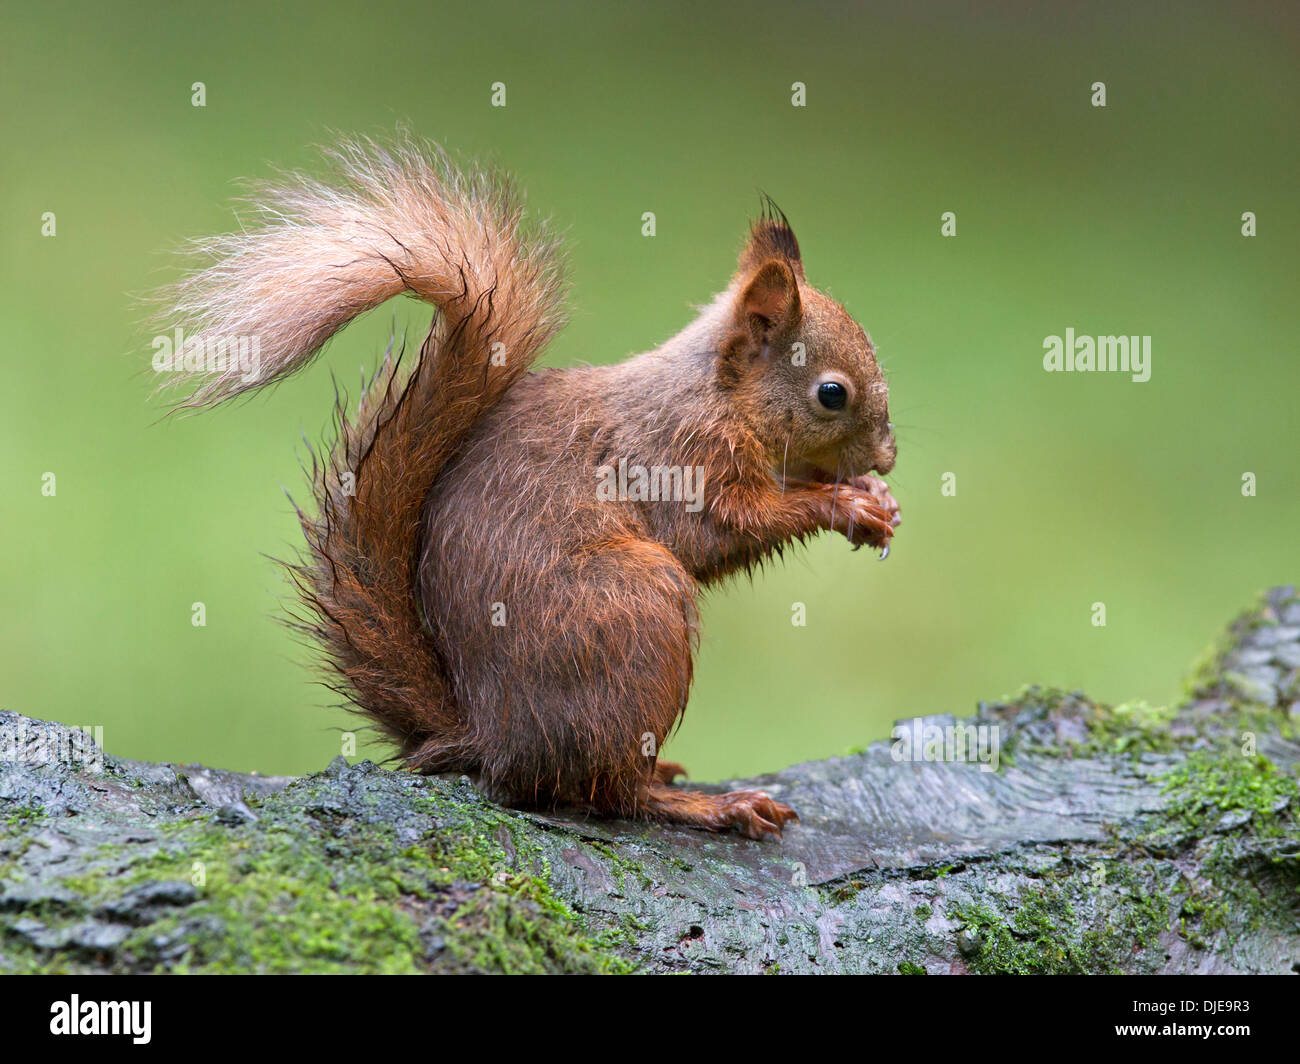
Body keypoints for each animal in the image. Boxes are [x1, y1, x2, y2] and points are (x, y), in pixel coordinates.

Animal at [156, 136, 900, 840]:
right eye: (832, 394)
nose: (889, 458)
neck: (716, 395)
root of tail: (488, 738)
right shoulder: (677, 458)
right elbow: (721, 531)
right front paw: (846, 503)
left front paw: (875, 498)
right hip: (637, 611)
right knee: (607, 791)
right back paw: (701, 803)